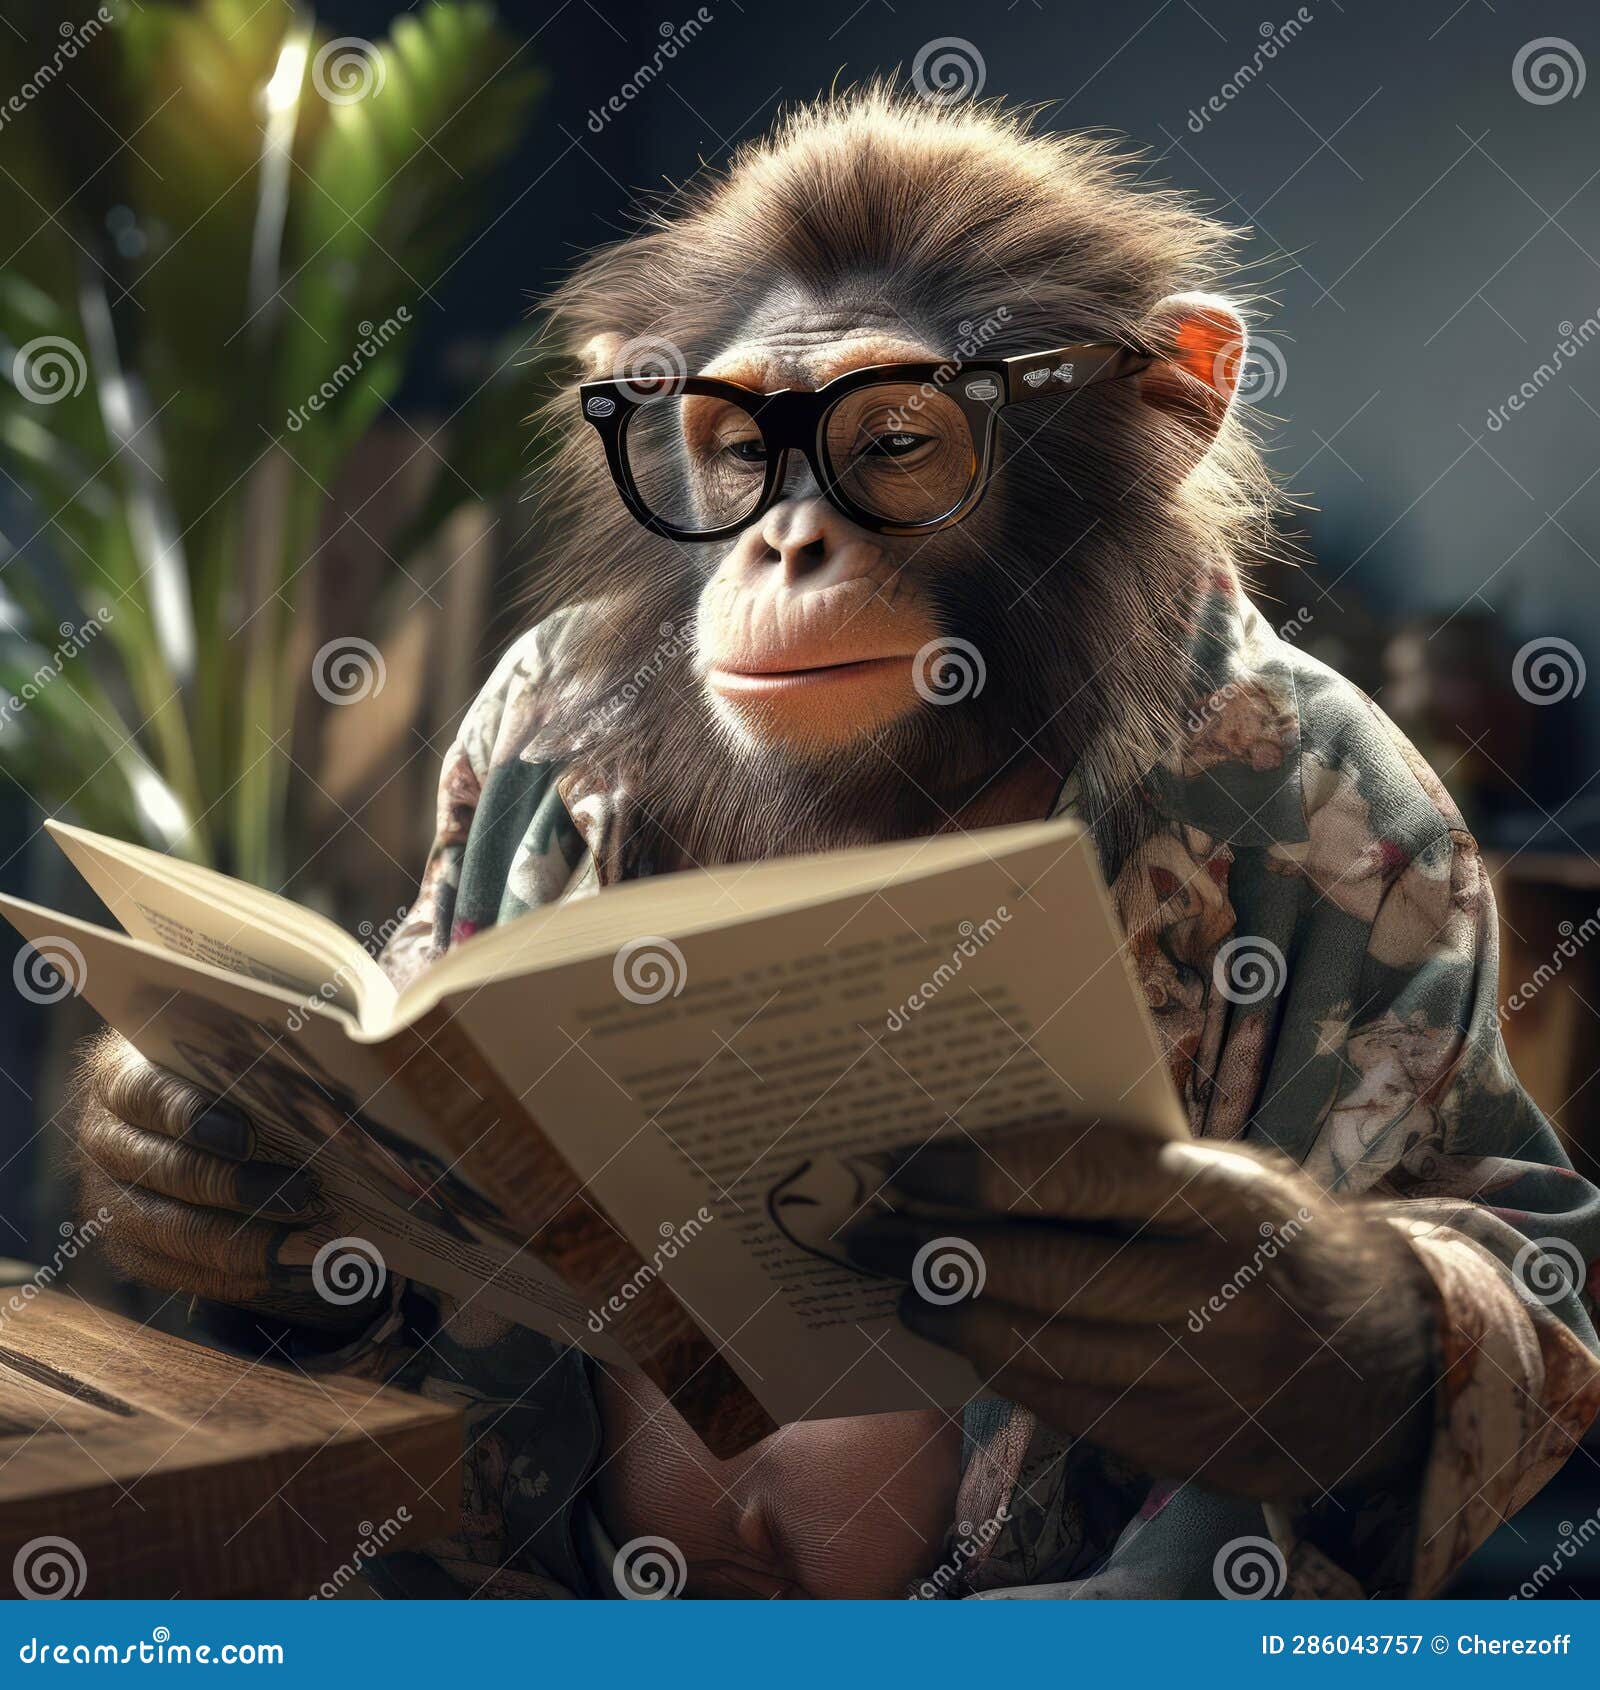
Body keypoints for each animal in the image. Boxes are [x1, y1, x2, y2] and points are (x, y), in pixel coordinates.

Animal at [71, 87, 1600, 1599]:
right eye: (739, 446)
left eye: (898, 439)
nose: (787, 543)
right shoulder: (520, 693)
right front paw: (187, 1146)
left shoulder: (1398, 833)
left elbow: (1513, 1222)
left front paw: (1237, 1300)